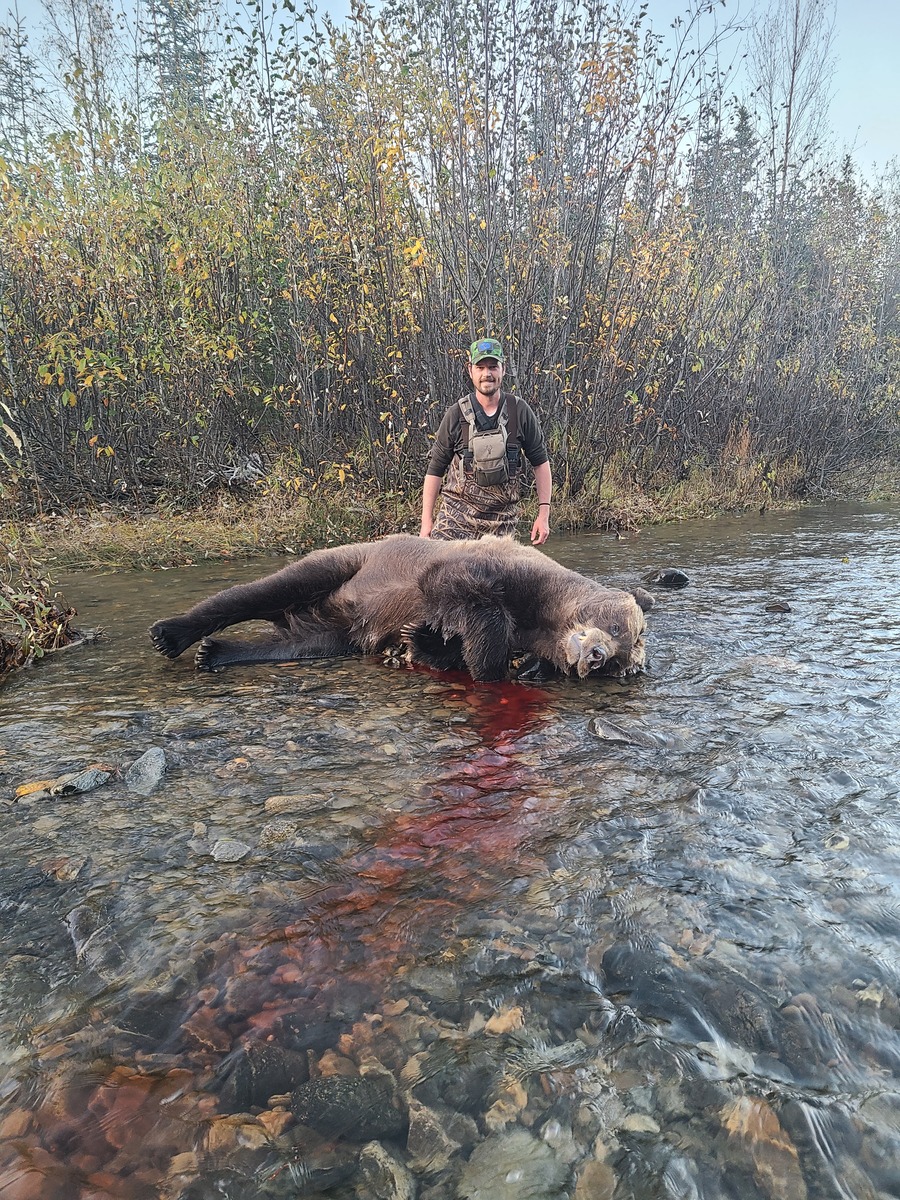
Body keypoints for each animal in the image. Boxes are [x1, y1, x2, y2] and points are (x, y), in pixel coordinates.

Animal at [149, 534, 653, 682]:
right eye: (620, 628)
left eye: (621, 663)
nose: (597, 656)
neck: (548, 620)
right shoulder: (500, 572)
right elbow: (467, 594)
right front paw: (486, 657)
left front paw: (423, 639)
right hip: (351, 564)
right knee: (263, 590)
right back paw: (172, 633)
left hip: (336, 632)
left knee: (296, 643)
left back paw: (216, 653)